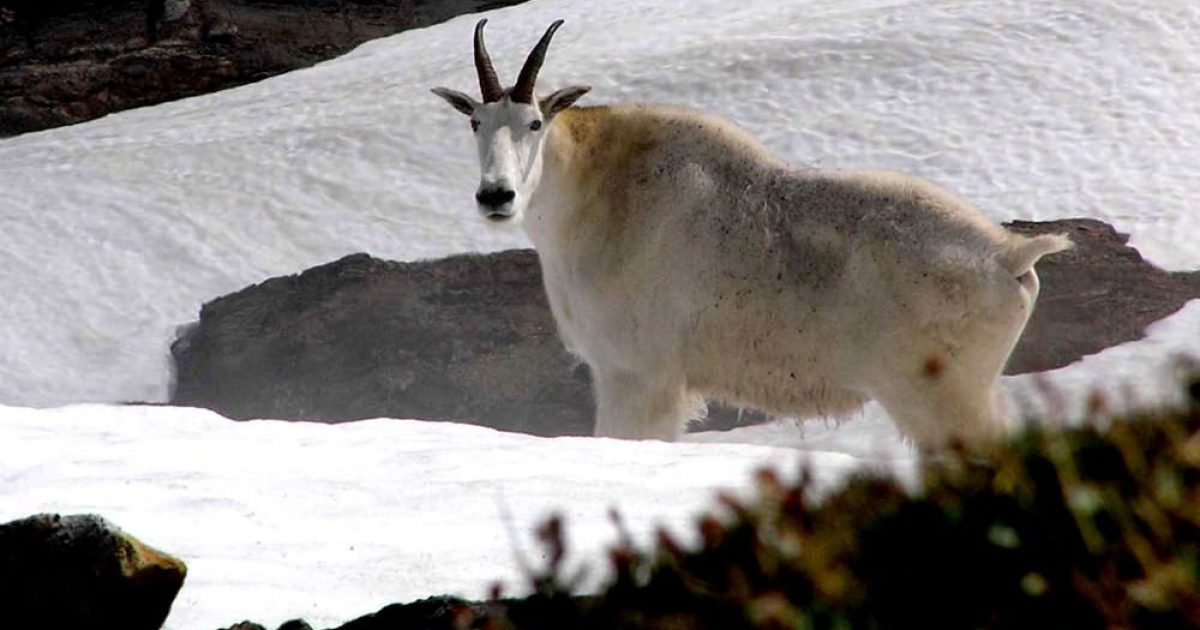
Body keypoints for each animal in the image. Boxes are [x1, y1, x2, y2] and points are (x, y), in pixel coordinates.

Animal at [432, 19, 1072, 449]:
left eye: (535, 123)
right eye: (475, 122)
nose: (496, 196)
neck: (596, 191)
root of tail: (1008, 256)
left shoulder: (637, 376)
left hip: (942, 398)